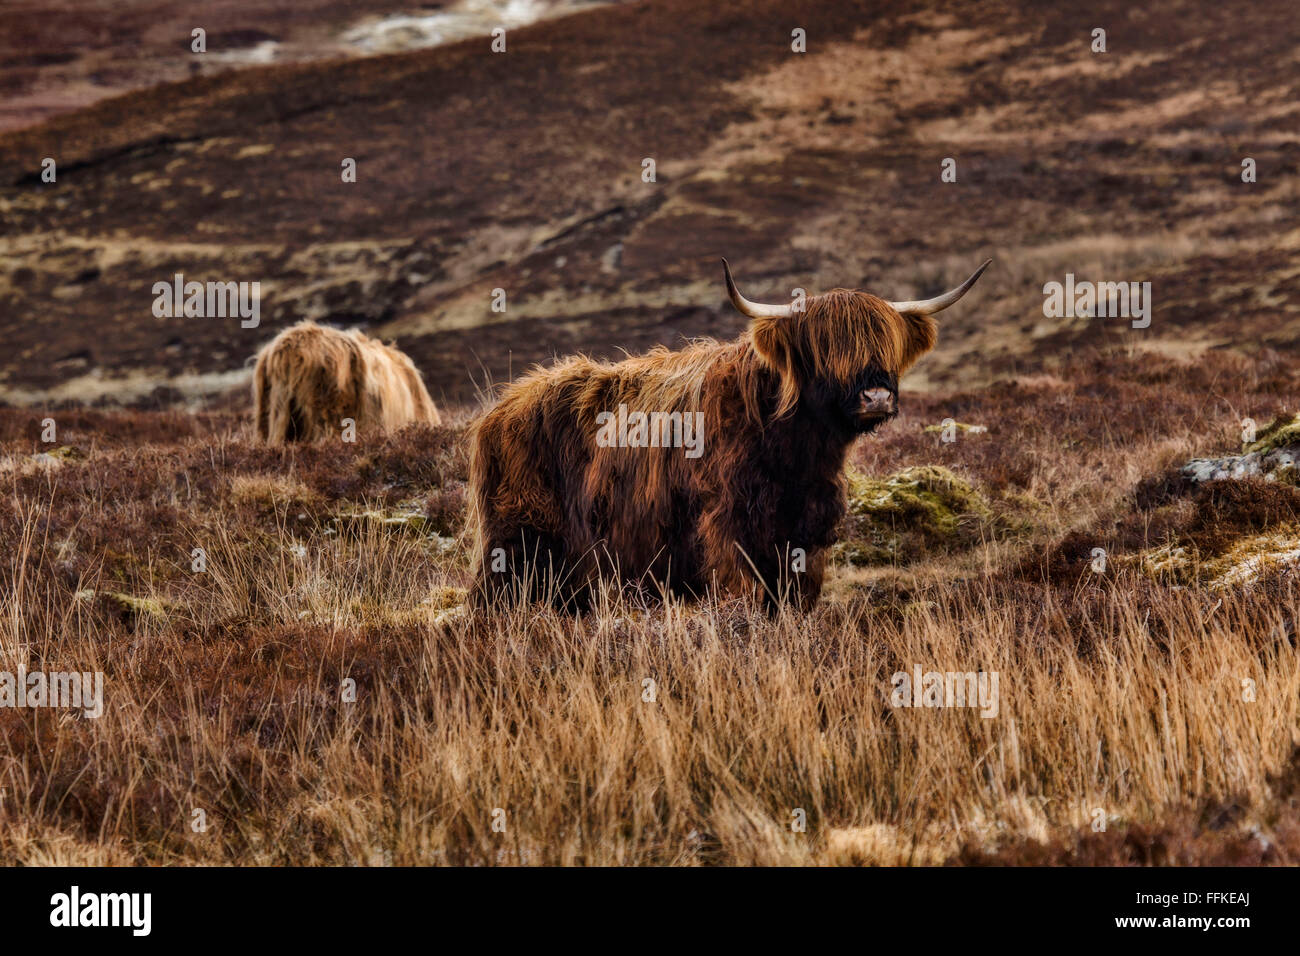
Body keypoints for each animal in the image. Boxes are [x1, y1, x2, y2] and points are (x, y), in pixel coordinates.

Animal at [469, 258, 990, 610]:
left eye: (887, 342)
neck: (797, 455)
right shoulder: (727, 533)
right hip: (516, 544)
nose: (876, 397)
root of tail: (501, 407)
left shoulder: (806, 545)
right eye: (823, 347)